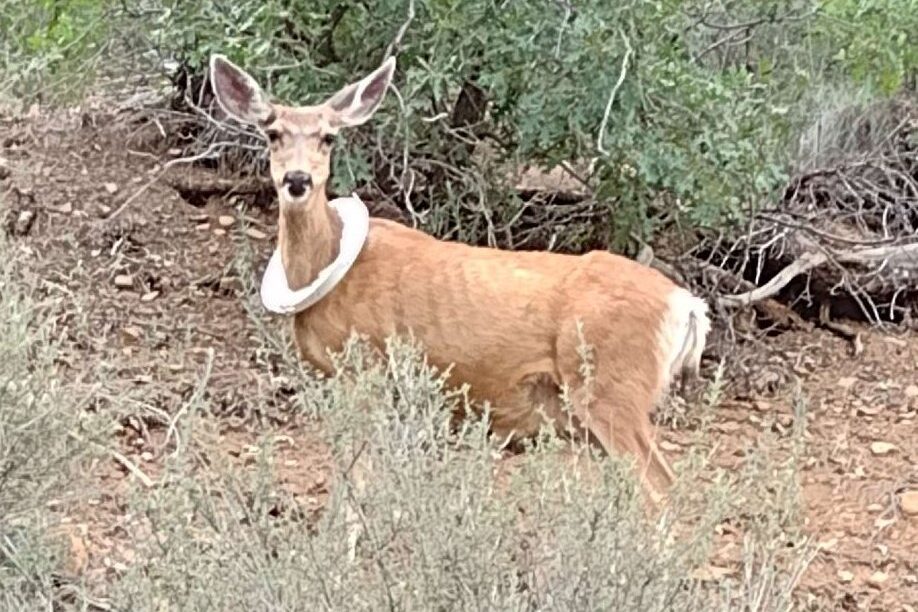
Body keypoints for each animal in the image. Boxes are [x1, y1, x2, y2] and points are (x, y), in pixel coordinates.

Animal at [209, 53, 711, 502]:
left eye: (329, 137)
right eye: (272, 132)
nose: (297, 180)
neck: (328, 270)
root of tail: (686, 305)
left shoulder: (364, 367)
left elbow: (359, 480)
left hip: (609, 386)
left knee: (662, 485)